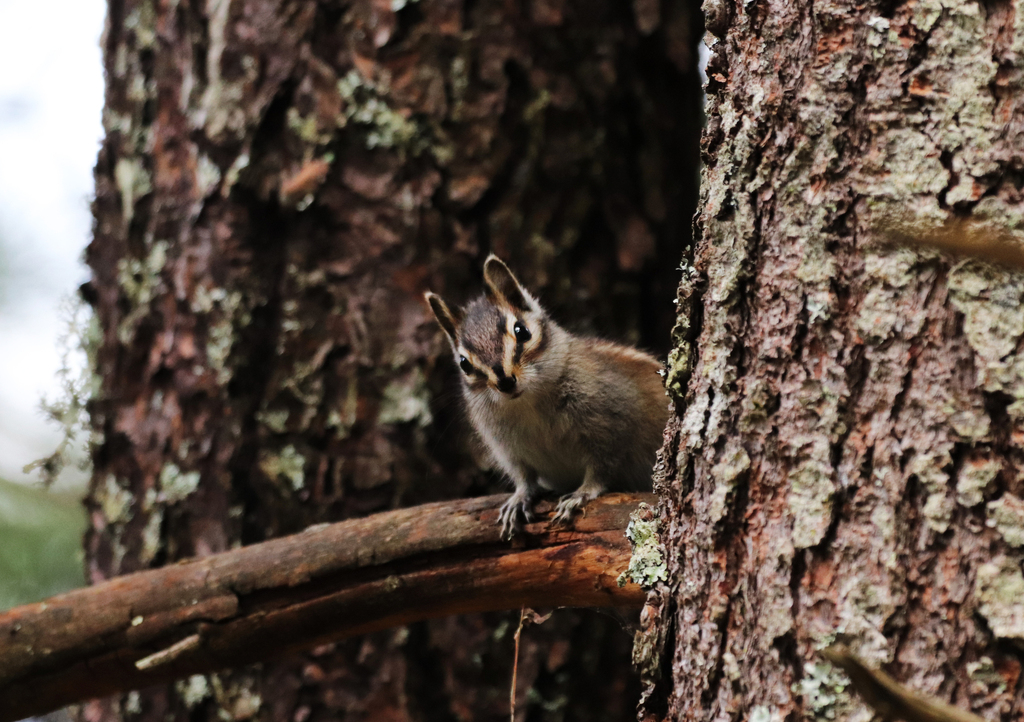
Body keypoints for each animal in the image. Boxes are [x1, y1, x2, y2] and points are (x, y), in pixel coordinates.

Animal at [425, 256, 670, 538]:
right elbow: (524, 477)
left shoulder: (611, 425)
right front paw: (519, 498)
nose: (505, 381)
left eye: (521, 331)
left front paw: (582, 494)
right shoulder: (508, 449)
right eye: (464, 363)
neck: (528, 402)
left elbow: (602, 468)